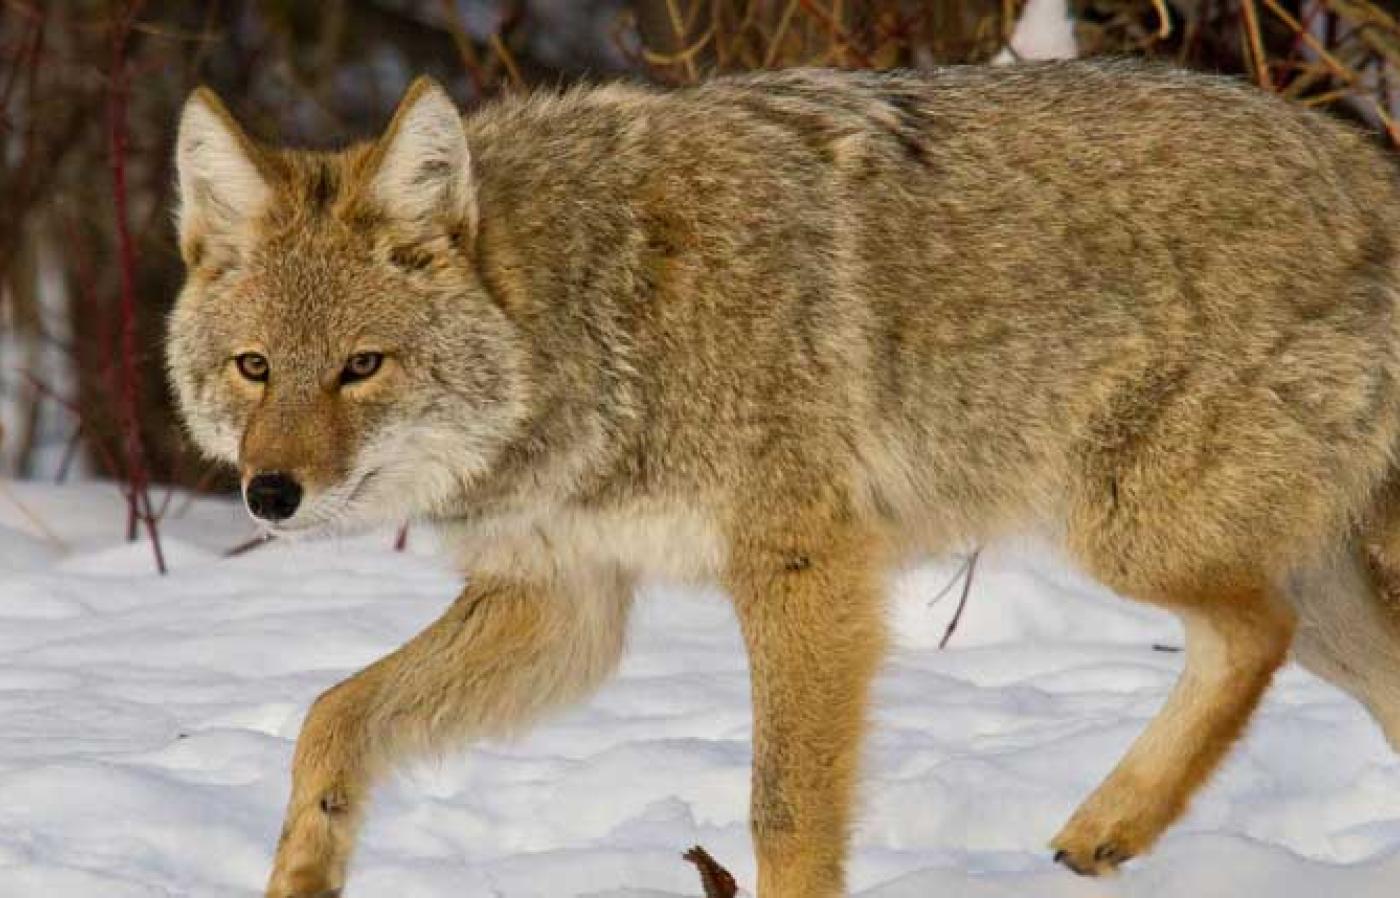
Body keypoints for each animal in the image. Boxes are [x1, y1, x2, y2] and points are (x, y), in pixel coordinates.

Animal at [166, 59, 1400, 897]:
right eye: (256, 367)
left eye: (361, 367)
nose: (269, 495)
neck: (594, 323)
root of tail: (1365, 161)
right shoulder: (563, 605)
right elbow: (330, 715)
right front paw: (304, 868)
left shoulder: (805, 570)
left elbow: (785, 815)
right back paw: (1108, 830)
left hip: (1130, 535)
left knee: (1253, 631)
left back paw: (1112, 823)